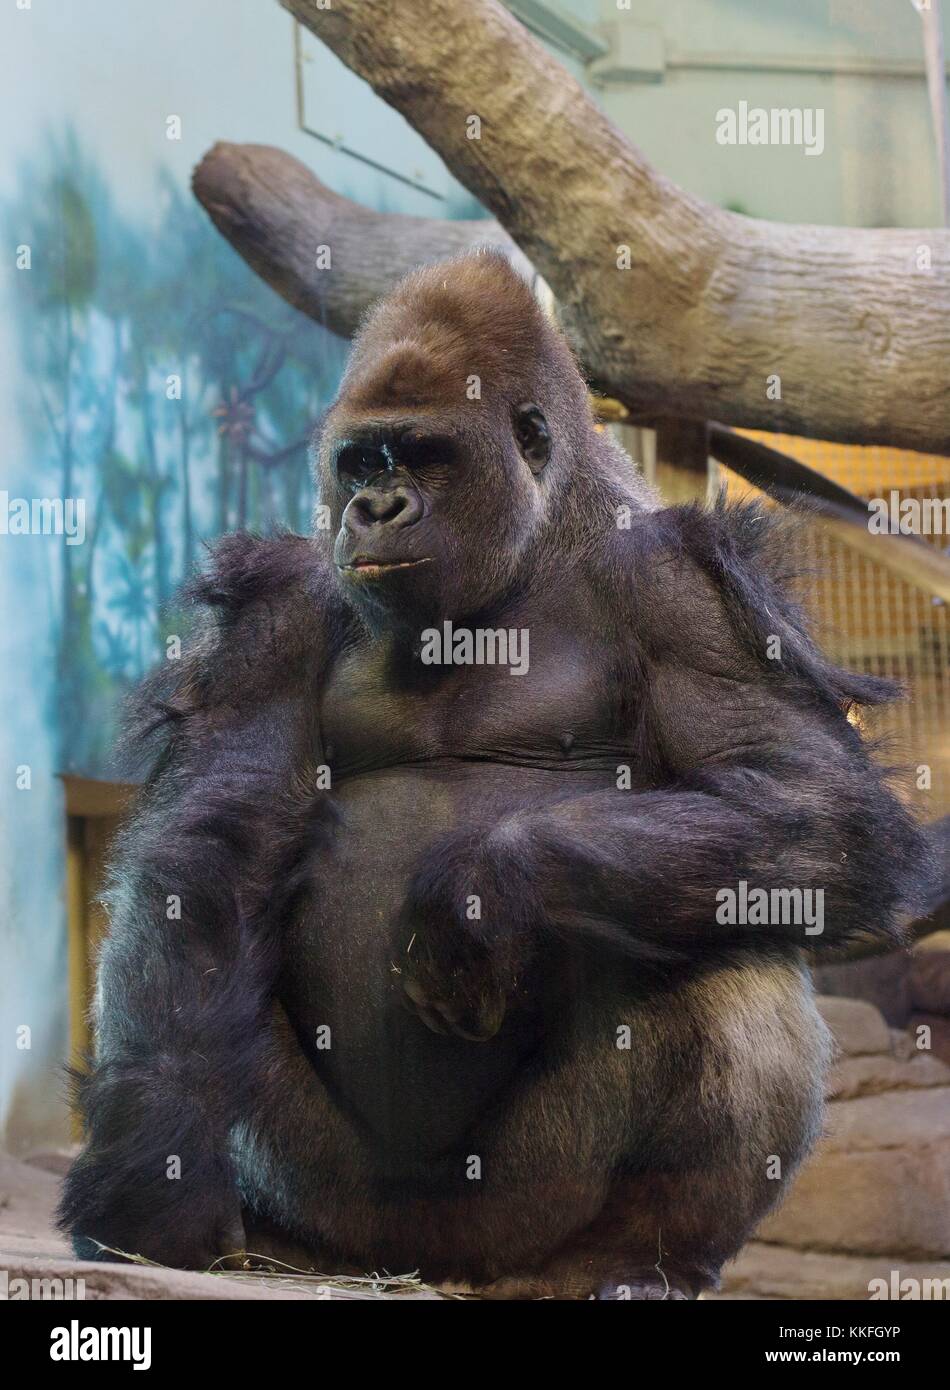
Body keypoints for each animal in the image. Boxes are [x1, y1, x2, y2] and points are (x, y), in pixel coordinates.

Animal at [59, 251, 928, 1298]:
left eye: (425, 455)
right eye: (362, 462)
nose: (376, 509)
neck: (541, 534)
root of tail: (434, 1267)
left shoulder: (683, 580)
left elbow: (811, 794)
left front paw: (483, 891)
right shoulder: (284, 599)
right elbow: (212, 842)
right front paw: (153, 1169)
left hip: (526, 1209)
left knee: (737, 943)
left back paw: (638, 1256)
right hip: (341, 1204)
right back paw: (272, 1244)